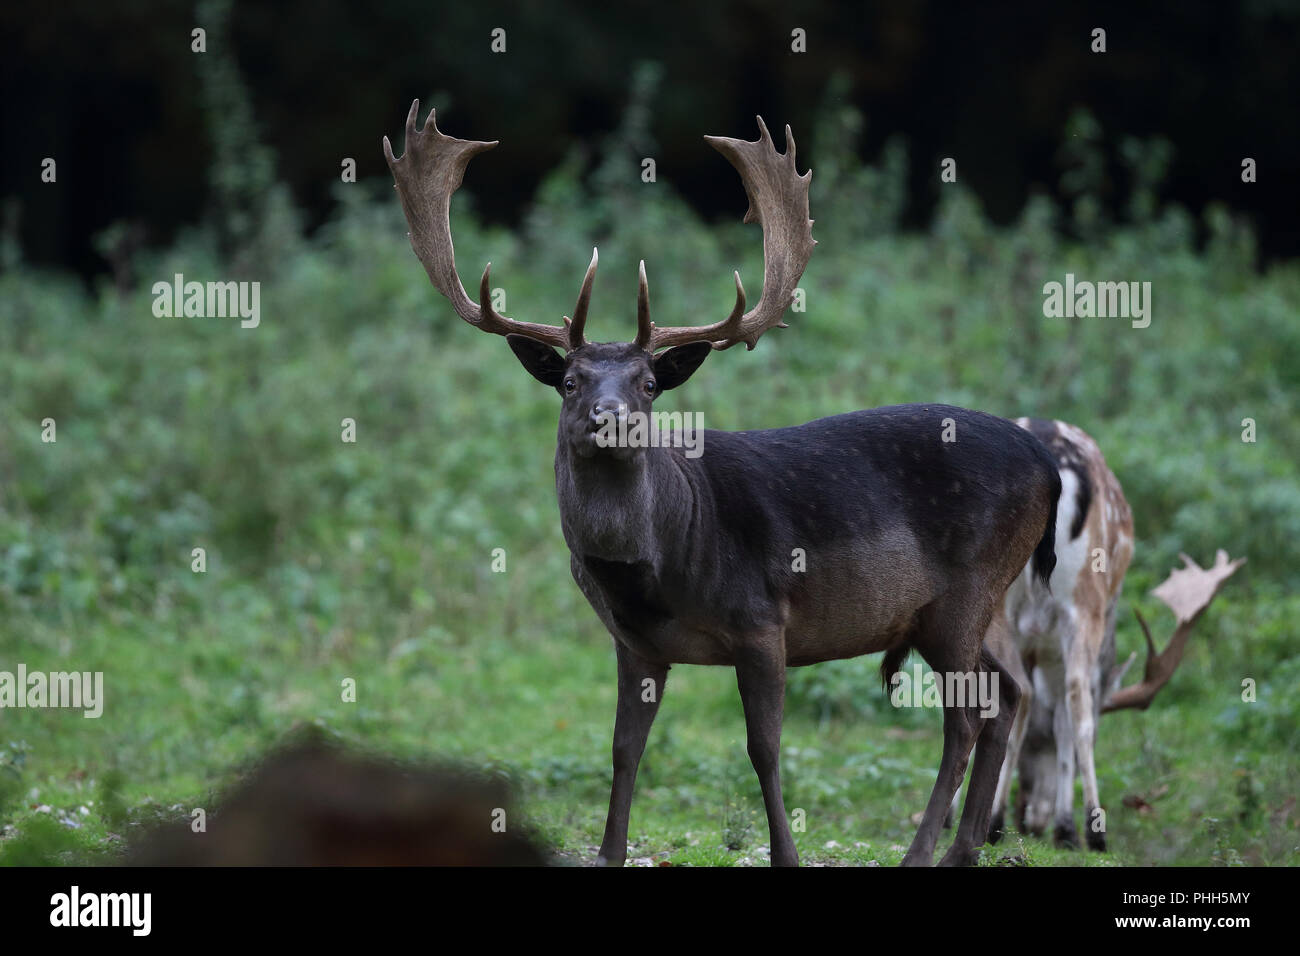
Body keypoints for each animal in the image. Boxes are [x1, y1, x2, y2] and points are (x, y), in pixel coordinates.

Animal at [383, 100, 1063, 866]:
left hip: (966, 589)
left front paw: (786, 855)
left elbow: (764, 749)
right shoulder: (634, 643)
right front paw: (610, 853)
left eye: (649, 384)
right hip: (970, 605)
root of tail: (1044, 462)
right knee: (1011, 696)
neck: (663, 562)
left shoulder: (762, 619)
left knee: (968, 716)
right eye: (570, 381)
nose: (612, 418)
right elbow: (623, 750)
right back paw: (960, 850)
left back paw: (923, 852)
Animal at [947, 419, 1243, 850]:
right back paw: (1081, 826)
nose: (1031, 818)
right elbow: (1068, 717)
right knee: (1060, 698)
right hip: (1078, 596)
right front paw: (1068, 825)